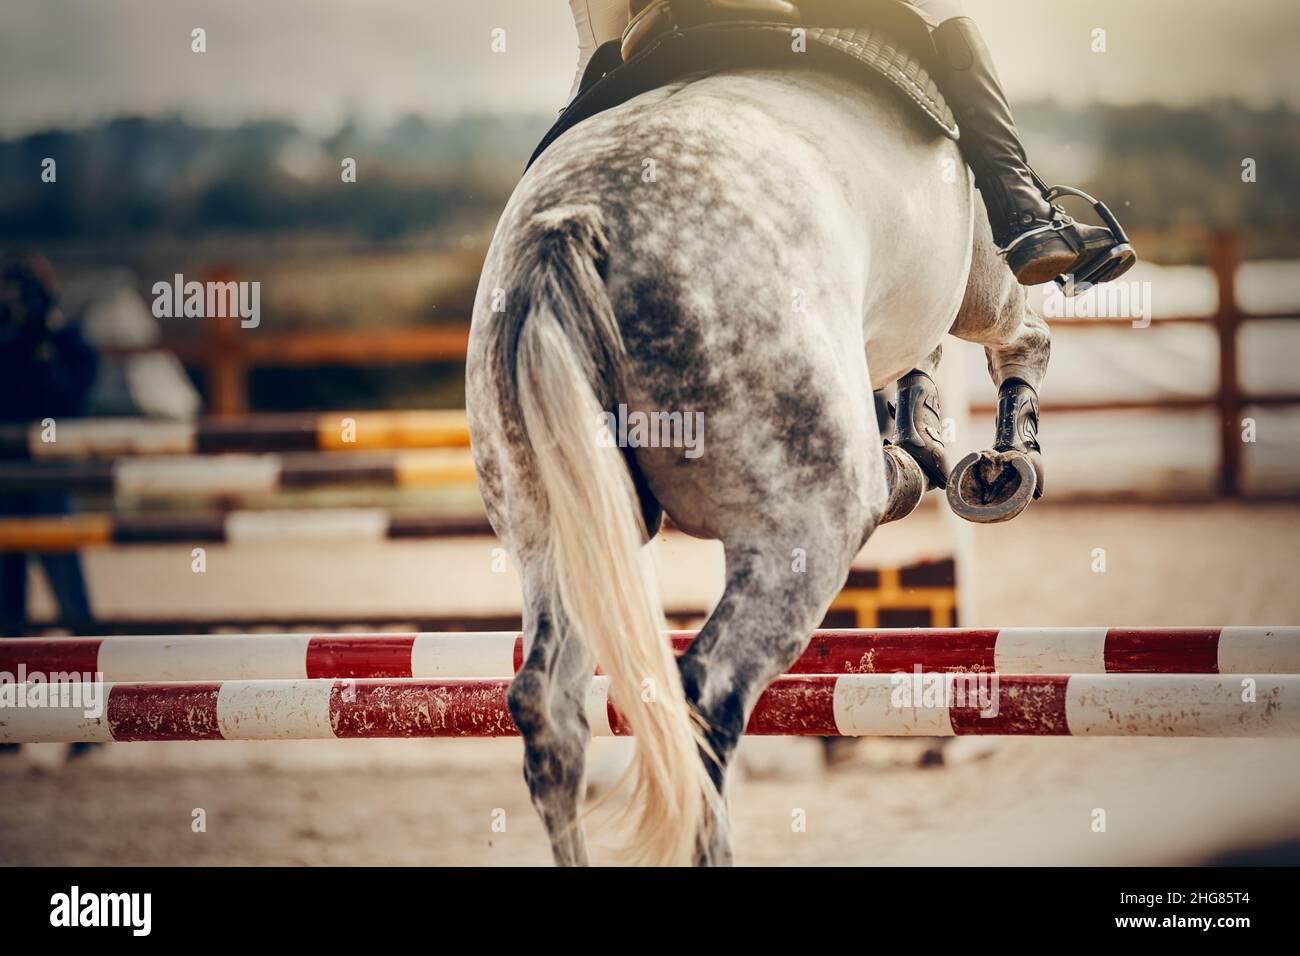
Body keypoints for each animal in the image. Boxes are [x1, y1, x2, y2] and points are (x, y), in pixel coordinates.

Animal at [465, 61, 1050, 866]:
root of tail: (575, 223)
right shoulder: (974, 270)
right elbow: (1019, 324)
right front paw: (1000, 457)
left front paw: (927, 445)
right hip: (801, 533)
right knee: (706, 697)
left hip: (558, 533)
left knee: (549, 707)